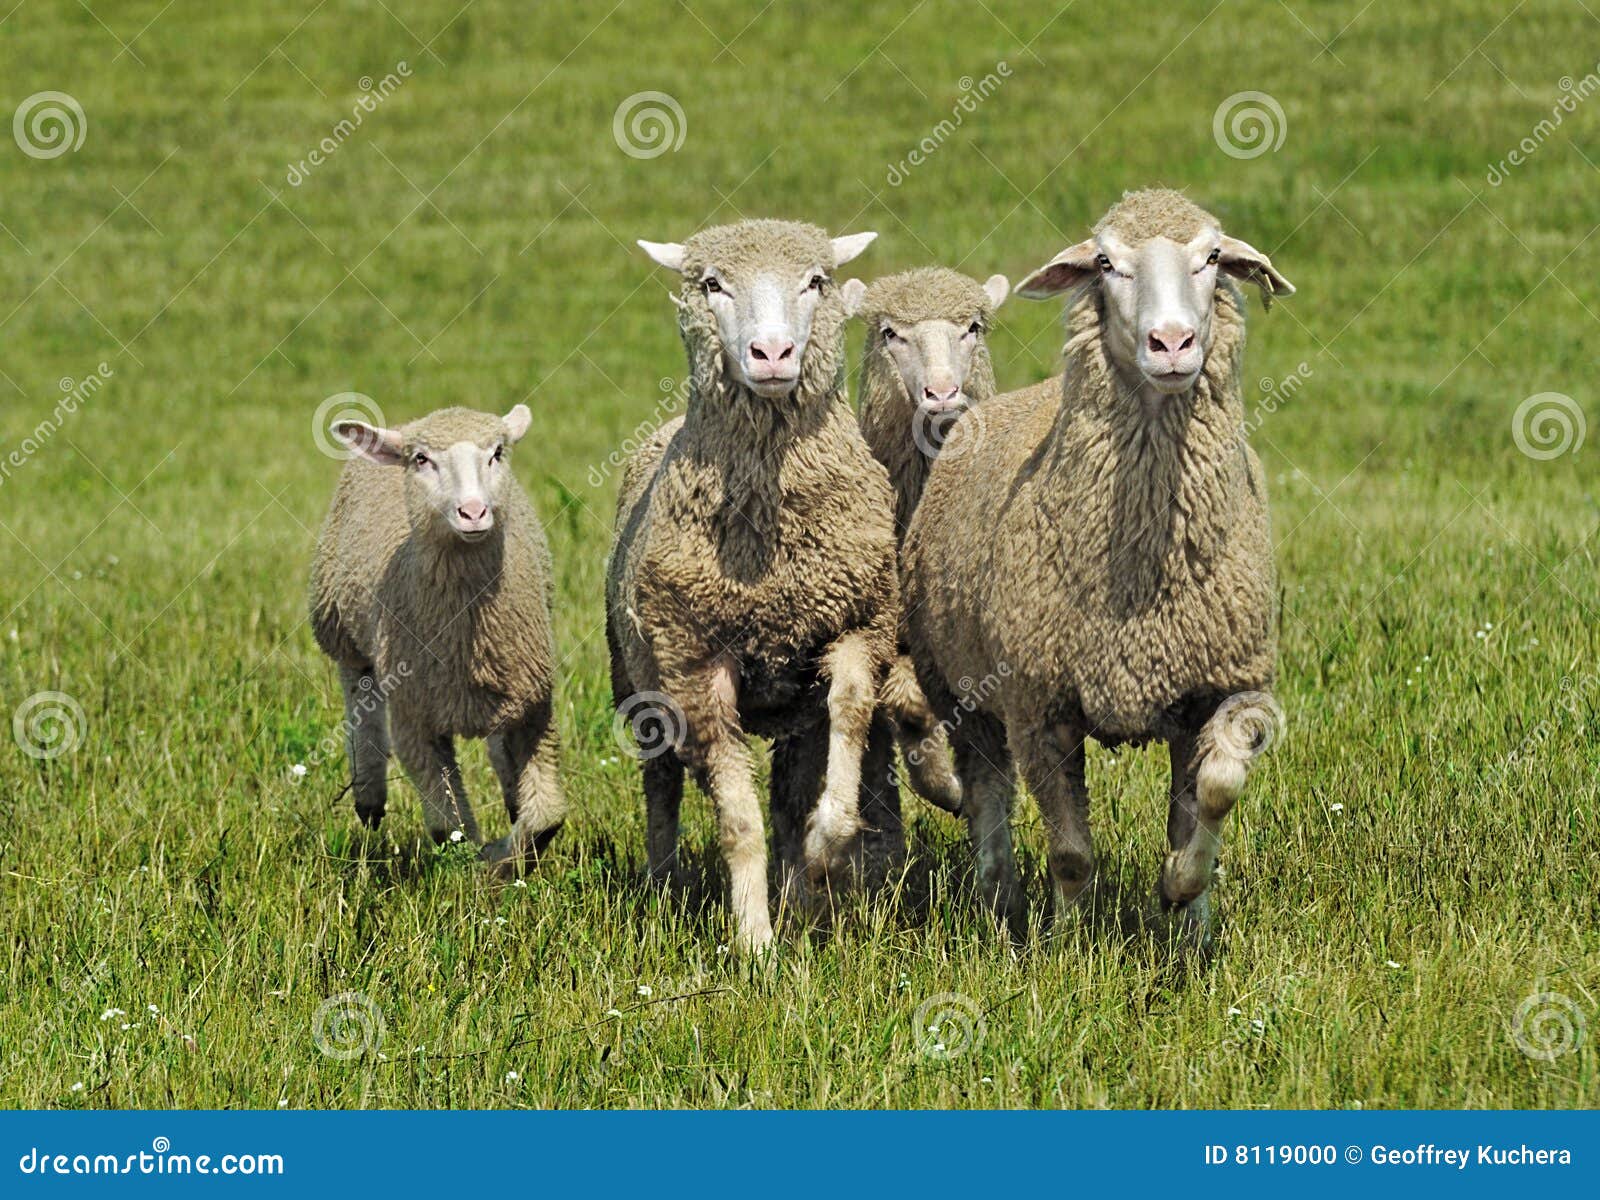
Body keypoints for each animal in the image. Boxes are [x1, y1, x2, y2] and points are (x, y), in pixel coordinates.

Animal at [309, 403, 564, 874]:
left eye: (497, 453)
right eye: (422, 460)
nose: (473, 512)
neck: (469, 637)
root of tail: (399, 425)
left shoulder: (535, 705)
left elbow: (547, 817)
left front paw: (505, 857)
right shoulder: (415, 721)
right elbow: (451, 830)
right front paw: (479, 868)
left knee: (499, 744)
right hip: (340, 623)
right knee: (359, 691)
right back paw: (368, 794)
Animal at [605, 218, 898, 952]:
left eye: (816, 281)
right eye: (713, 284)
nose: (772, 353)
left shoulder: (856, 624)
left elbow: (850, 715)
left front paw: (825, 851)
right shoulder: (696, 666)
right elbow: (737, 821)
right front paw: (755, 943)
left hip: (795, 702)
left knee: (790, 795)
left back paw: (801, 896)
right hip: (637, 679)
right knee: (661, 785)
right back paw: (665, 882)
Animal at [902, 189, 1295, 942]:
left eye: (1211, 256)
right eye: (1107, 263)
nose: (1172, 343)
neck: (1144, 570)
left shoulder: (1227, 685)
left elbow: (1215, 792)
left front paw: (1183, 897)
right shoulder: (1040, 706)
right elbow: (1071, 853)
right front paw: (1067, 944)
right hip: (960, 688)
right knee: (987, 791)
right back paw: (999, 900)